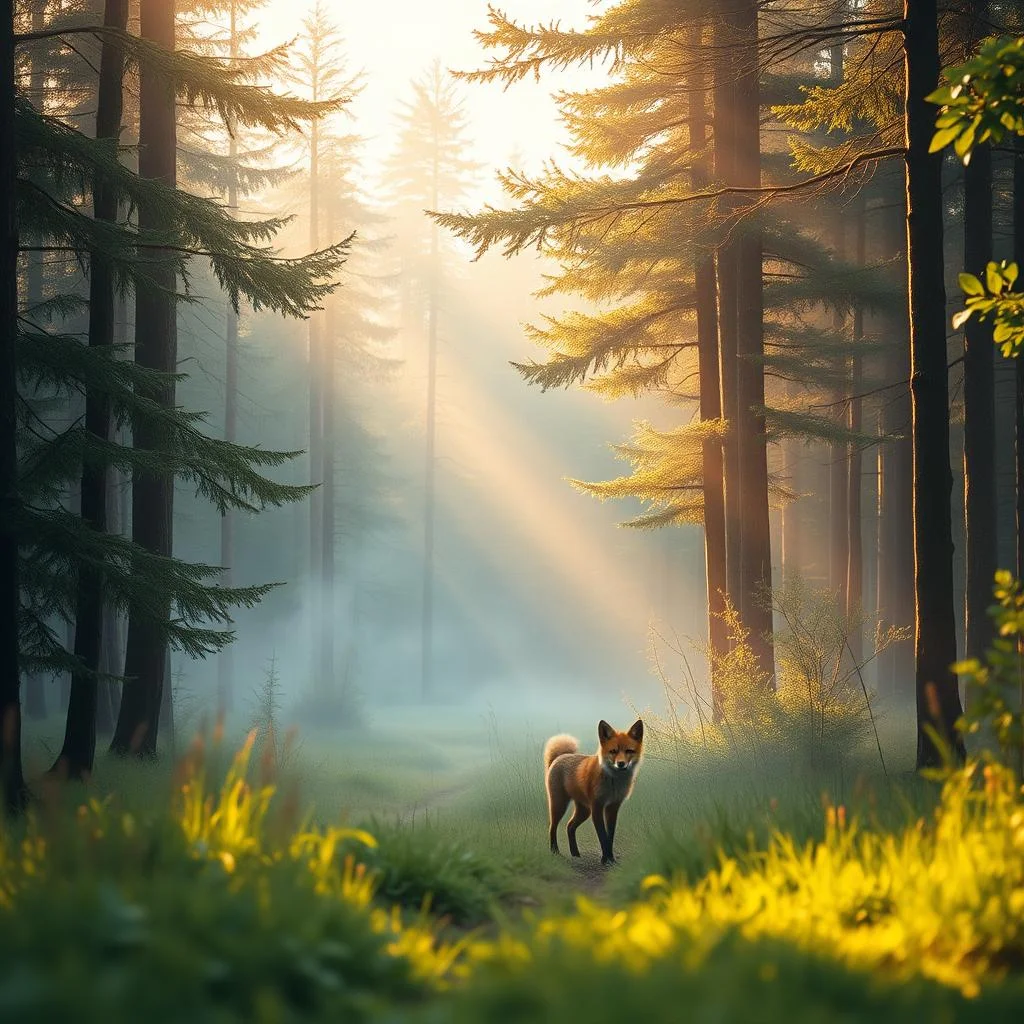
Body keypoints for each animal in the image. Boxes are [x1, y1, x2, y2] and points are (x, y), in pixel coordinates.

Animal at [544, 719, 643, 866]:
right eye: (613, 751)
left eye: (629, 751)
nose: (621, 764)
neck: (613, 783)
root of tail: (561, 756)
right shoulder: (597, 807)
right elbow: (603, 837)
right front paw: (605, 859)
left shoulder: (613, 808)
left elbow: (610, 837)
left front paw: (611, 860)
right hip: (560, 805)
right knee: (552, 827)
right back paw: (555, 851)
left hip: (584, 811)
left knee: (569, 826)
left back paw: (575, 853)